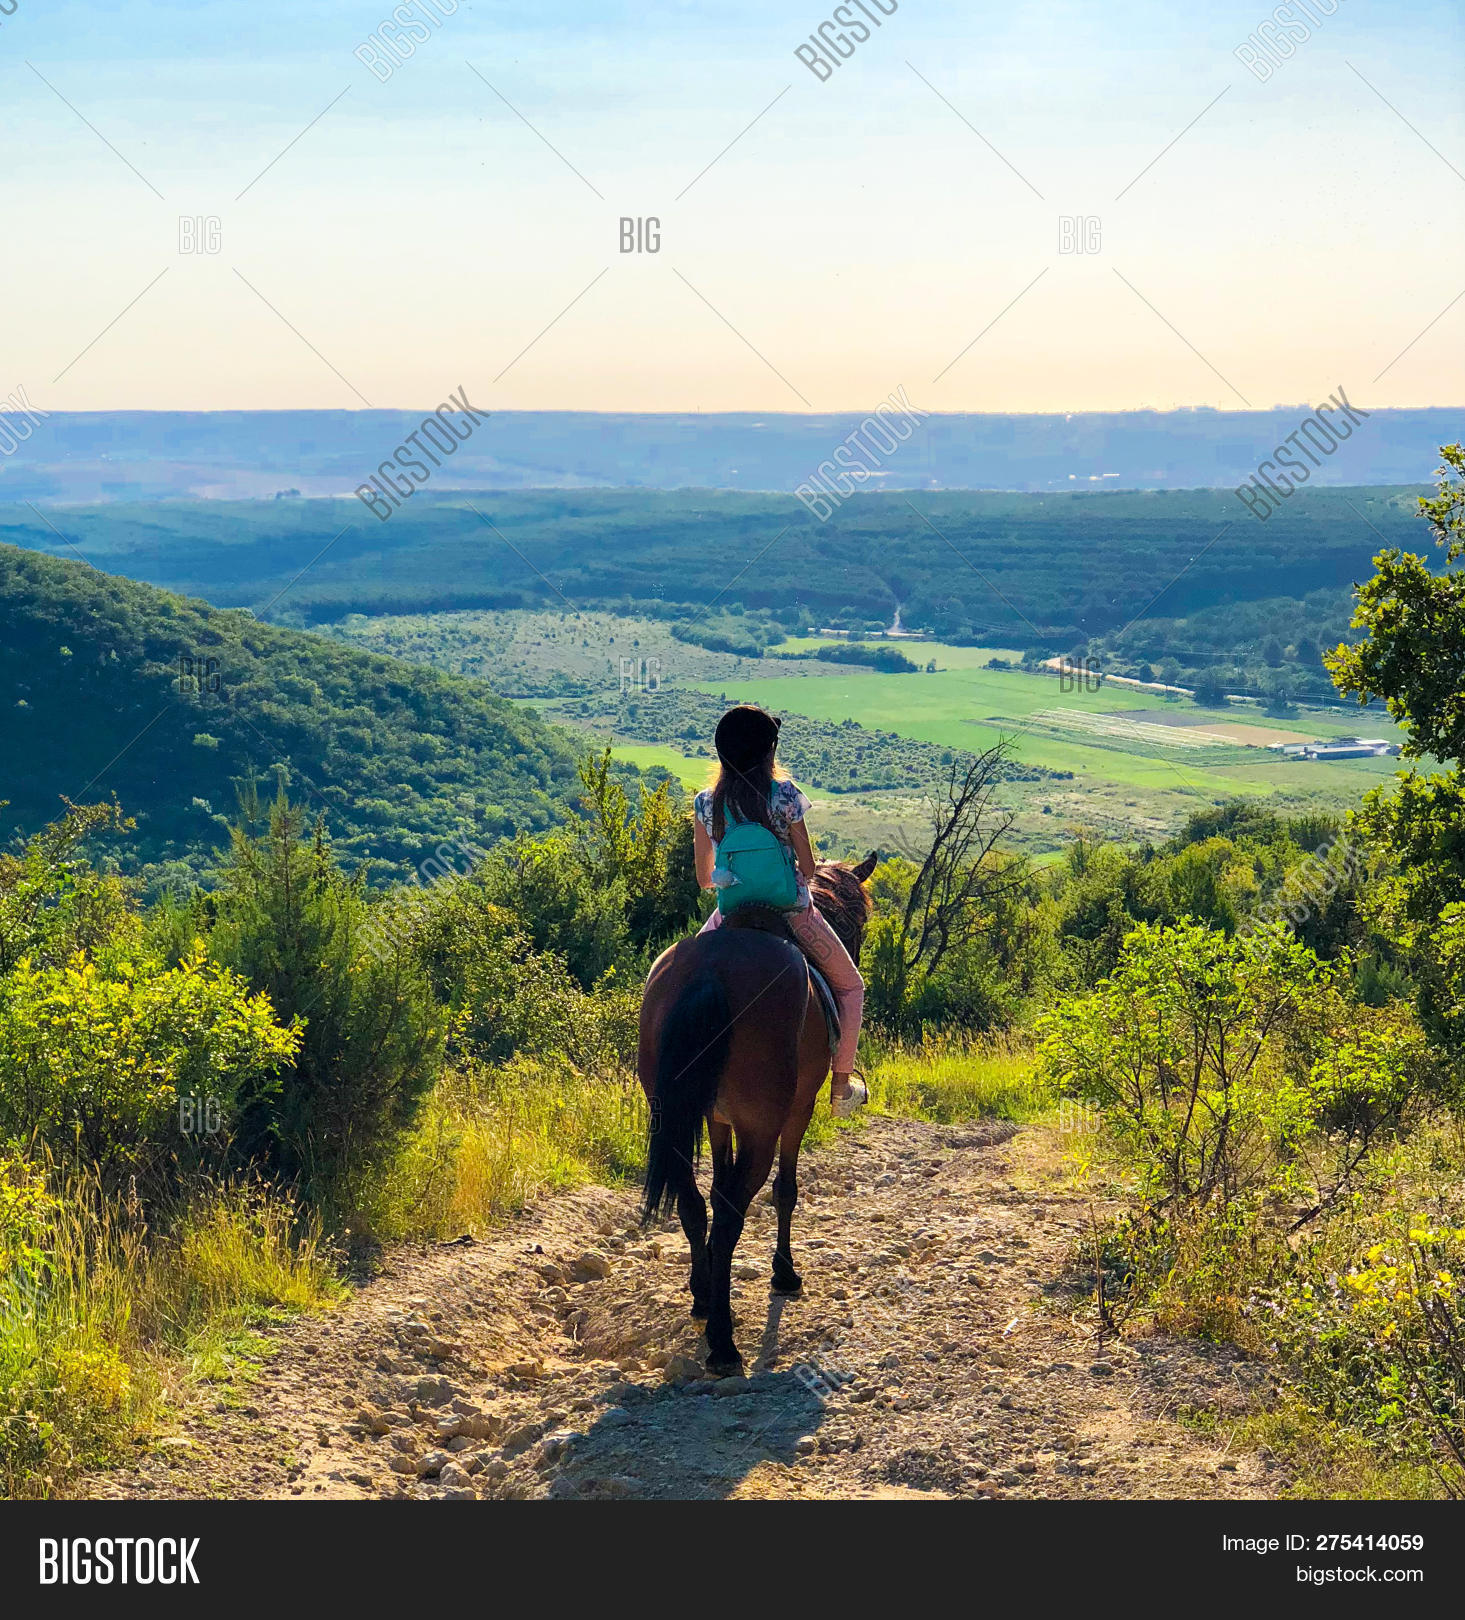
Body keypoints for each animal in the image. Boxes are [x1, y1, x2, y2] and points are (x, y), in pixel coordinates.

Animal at [638, 854, 876, 1374]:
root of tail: (710, 971)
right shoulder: (797, 1111)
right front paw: (784, 1272)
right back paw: (723, 1342)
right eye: (859, 921)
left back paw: (704, 1299)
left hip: (672, 1119)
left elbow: (714, 1186)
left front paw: (710, 1280)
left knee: (693, 1203)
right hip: (765, 1128)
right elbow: (786, 1190)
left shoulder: (717, 1119)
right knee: (731, 1216)